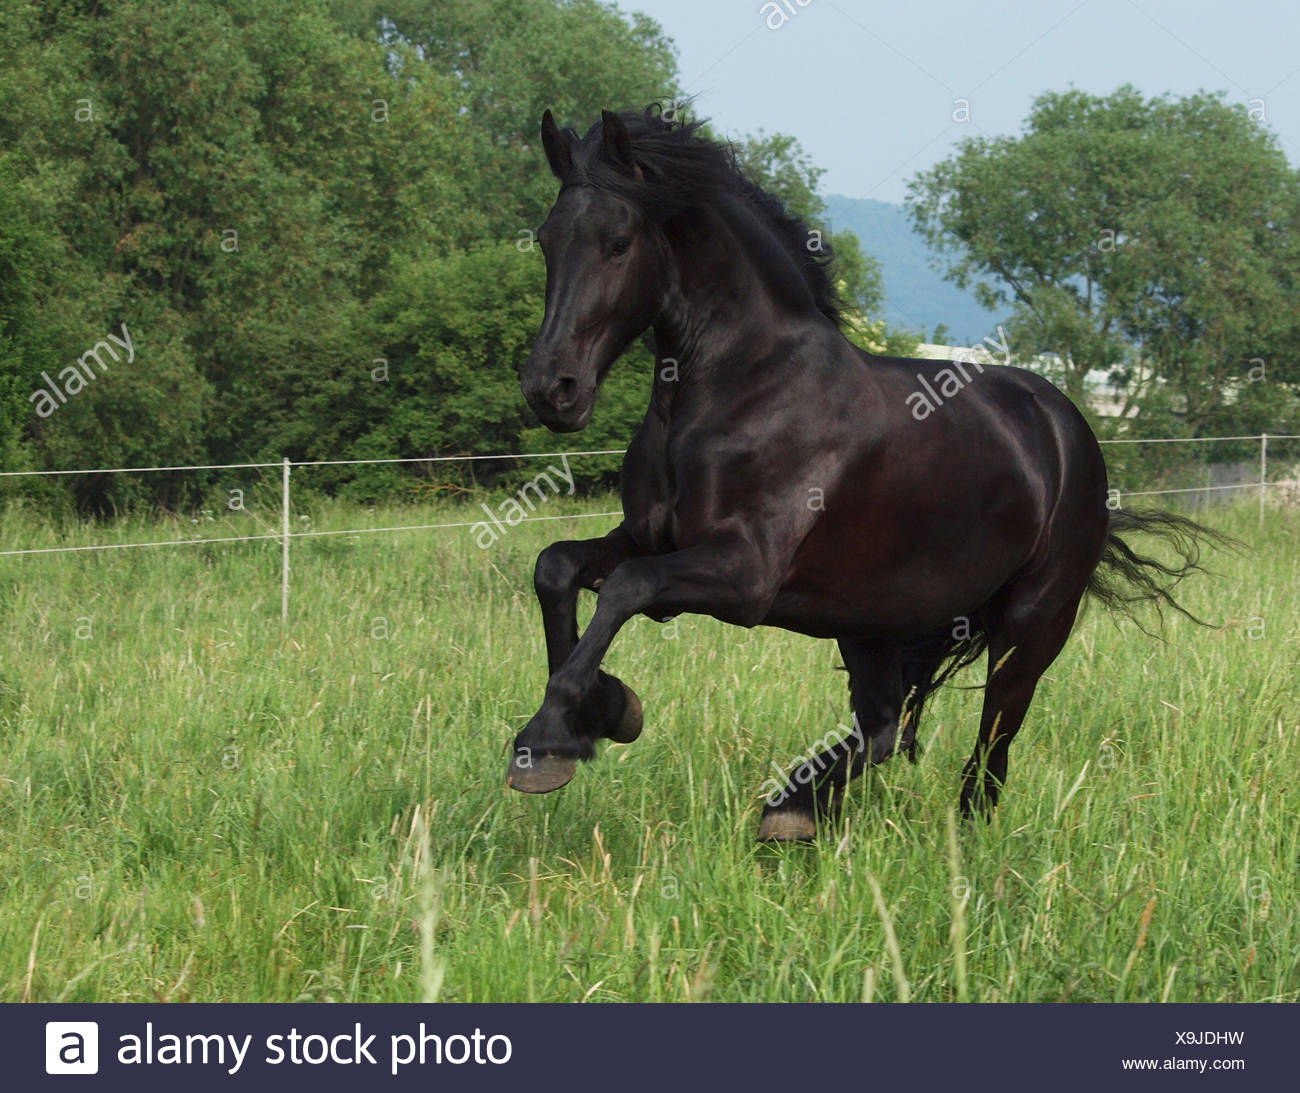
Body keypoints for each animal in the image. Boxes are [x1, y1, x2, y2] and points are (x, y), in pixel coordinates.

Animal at [508, 105, 1223, 841]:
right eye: (547, 240)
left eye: (618, 243)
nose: (551, 389)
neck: (742, 387)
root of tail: (1067, 427)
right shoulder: (648, 536)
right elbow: (557, 567)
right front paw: (602, 711)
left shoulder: (746, 574)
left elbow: (626, 588)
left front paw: (551, 738)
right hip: (867, 616)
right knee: (883, 726)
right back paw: (791, 812)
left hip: (1031, 624)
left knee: (988, 754)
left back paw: (942, 839)